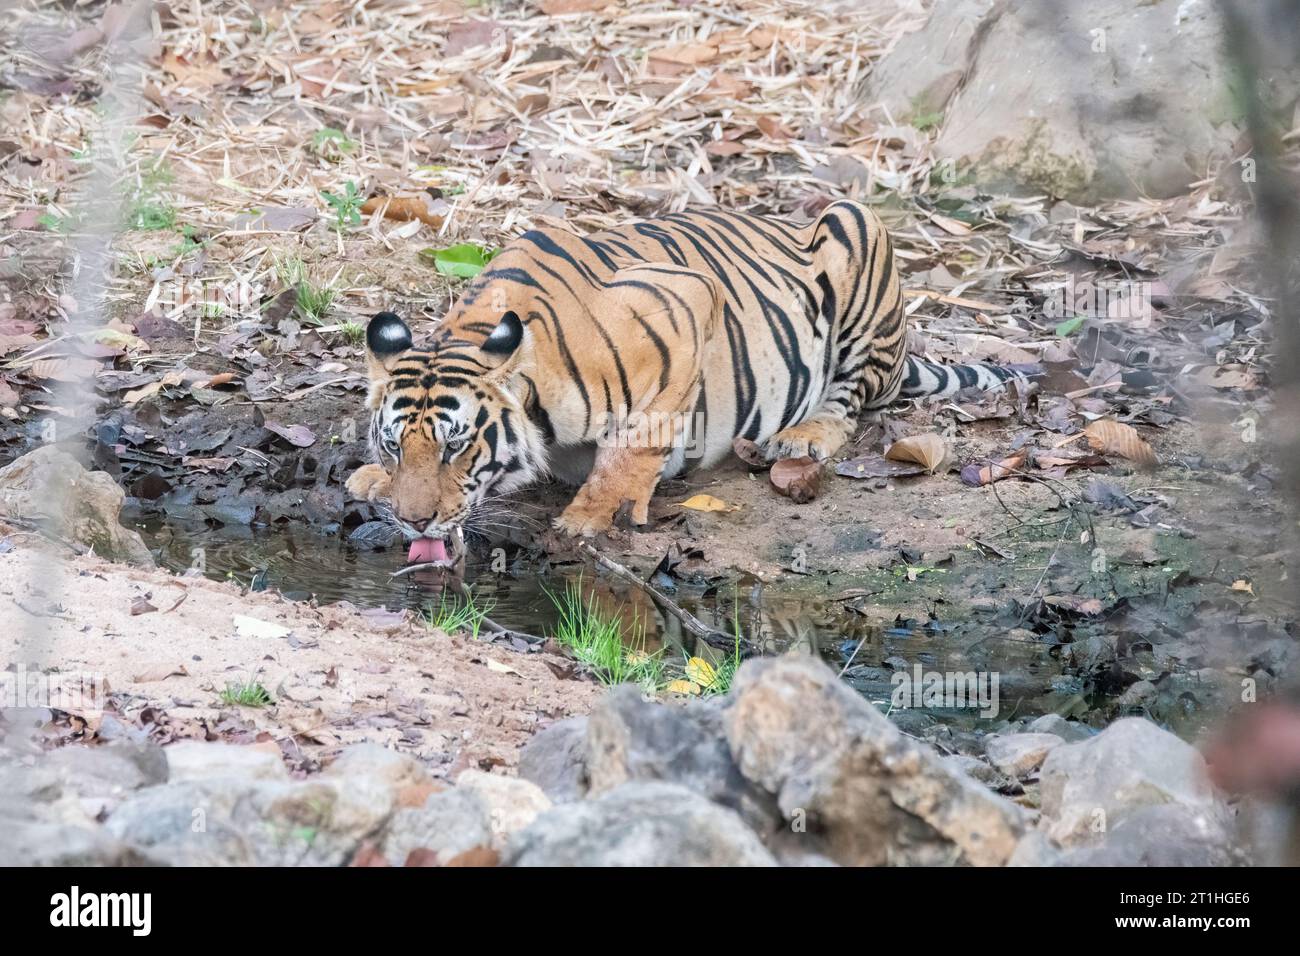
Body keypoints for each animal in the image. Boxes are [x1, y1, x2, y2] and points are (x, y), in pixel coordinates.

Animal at [346, 199, 1027, 564]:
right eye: (393, 445)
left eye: (457, 447)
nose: (414, 523)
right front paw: (372, 479)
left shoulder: (685, 304)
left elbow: (638, 439)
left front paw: (592, 515)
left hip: (856, 231)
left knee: (851, 399)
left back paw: (804, 435)